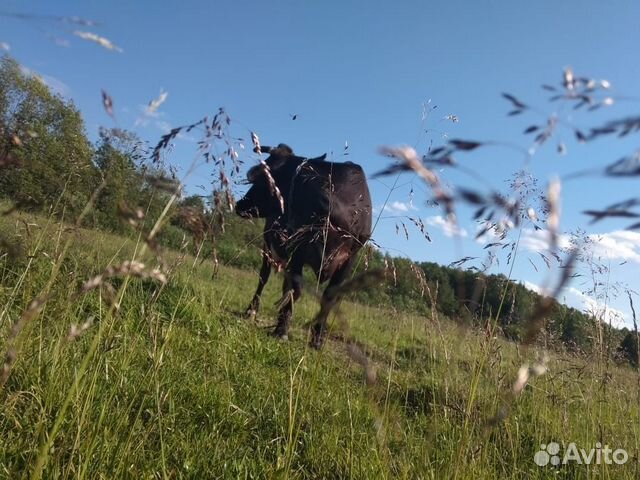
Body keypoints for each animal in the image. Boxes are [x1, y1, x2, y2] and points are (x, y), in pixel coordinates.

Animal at [235, 143, 372, 348]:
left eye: (264, 178)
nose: (240, 204)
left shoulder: (349, 258)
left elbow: (329, 297)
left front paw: (317, 338)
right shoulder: (298, 248)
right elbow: (296, 288)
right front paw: (281, 330)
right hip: (268, 245)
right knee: (264, 277)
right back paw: (251, 311)